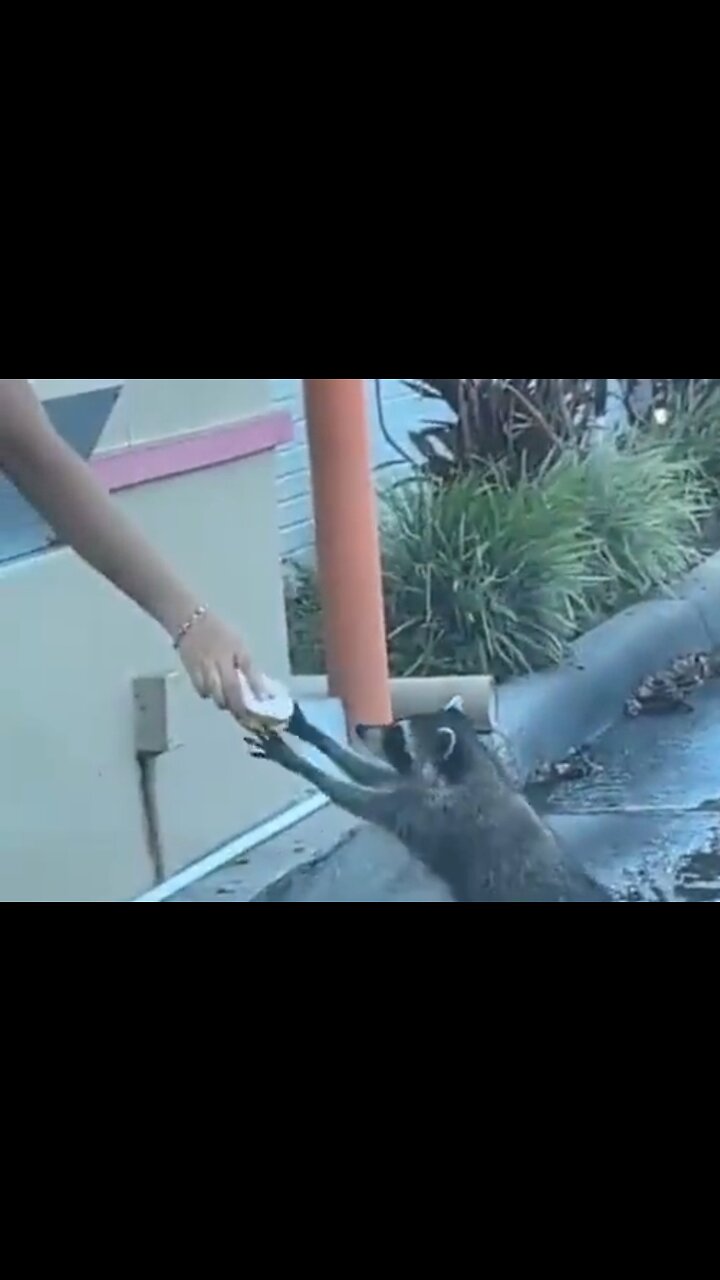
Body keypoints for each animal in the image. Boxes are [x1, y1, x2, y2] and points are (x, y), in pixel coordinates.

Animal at [246, 698, 610, 903]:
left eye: (397, 737)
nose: (361, 727)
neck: (469, 767)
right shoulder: (419, 788)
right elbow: (375, 775)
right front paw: (311, 732)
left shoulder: (434, 812)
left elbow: (366, 801)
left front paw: (299, 762)